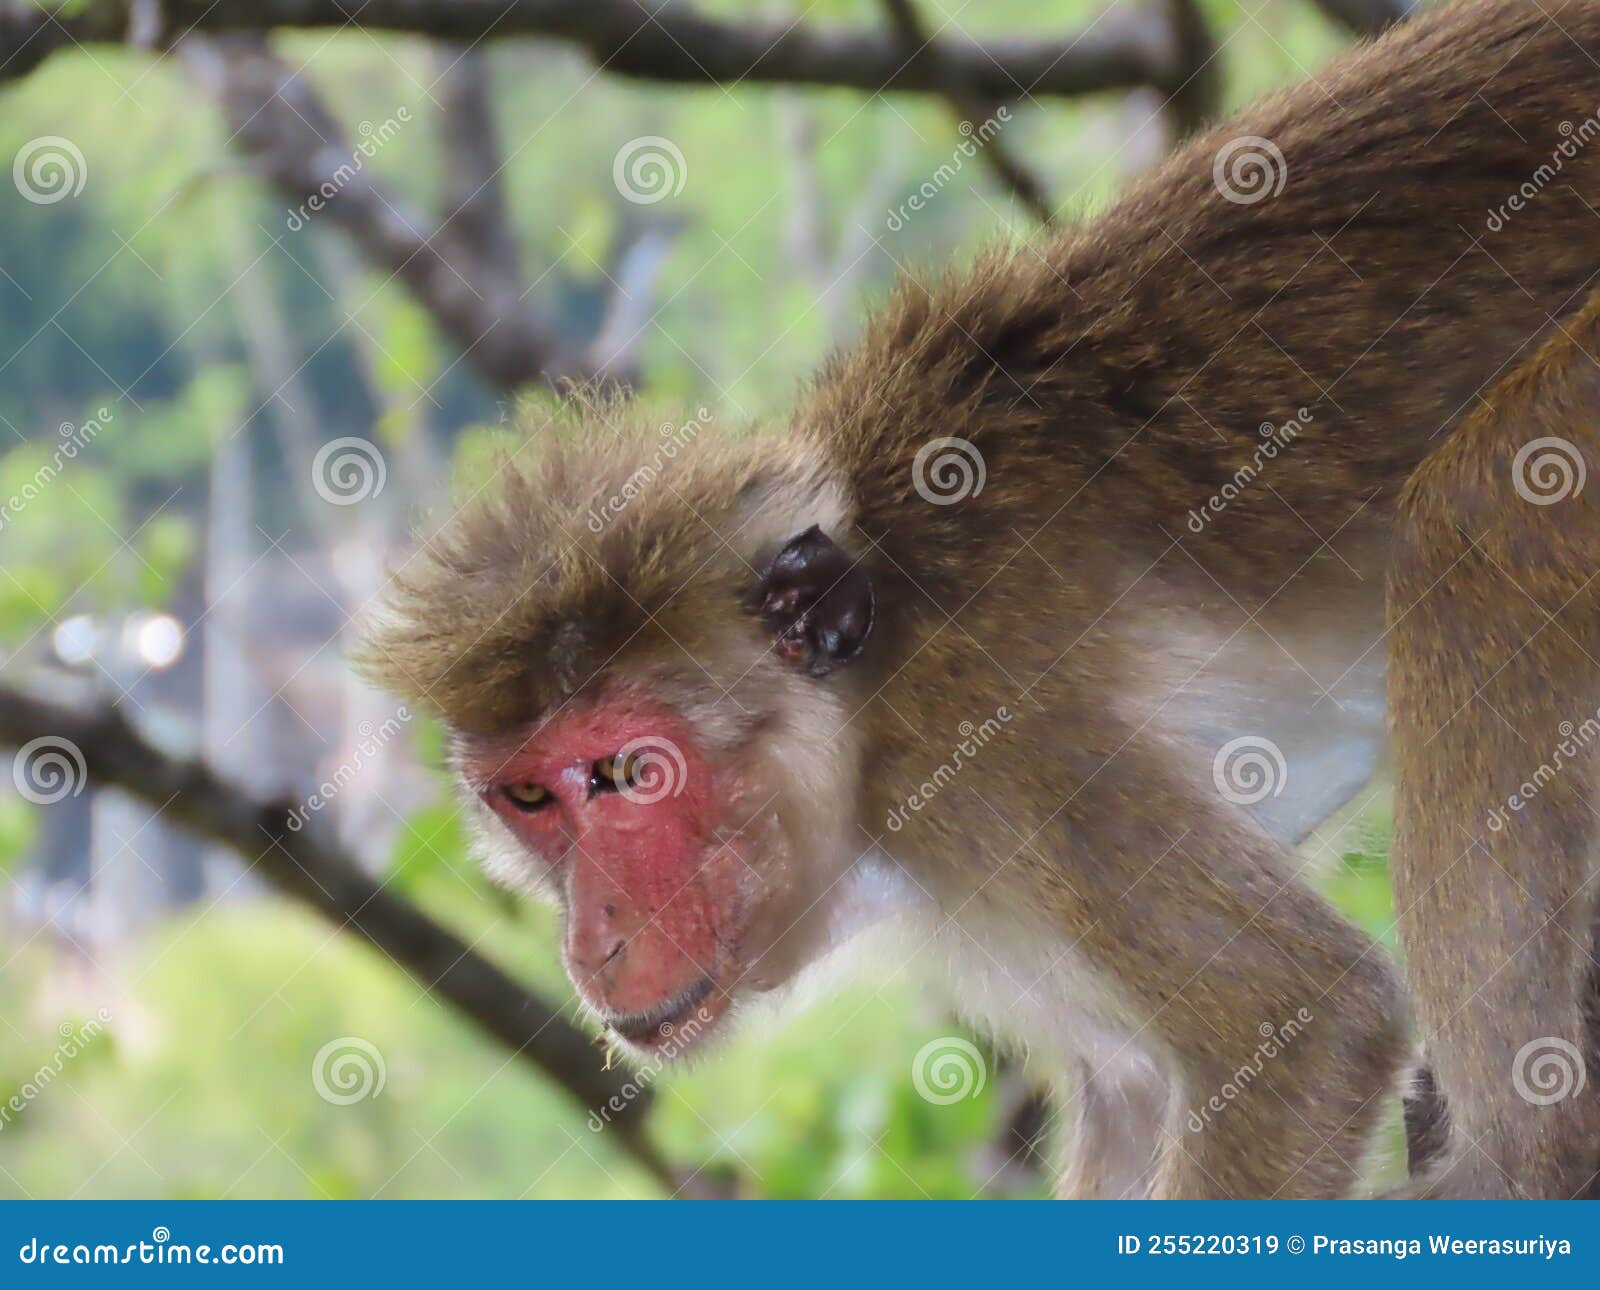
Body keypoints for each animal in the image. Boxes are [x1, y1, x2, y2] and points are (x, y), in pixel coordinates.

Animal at [354, 0, 1600, 1198]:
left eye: (630, 774)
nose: (595, 941)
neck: (862, 714)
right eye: (531, 799)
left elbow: (1304, 1017)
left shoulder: (996, 750)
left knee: (1481, 508)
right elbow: (1131, 1089)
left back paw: (1510, 1164)